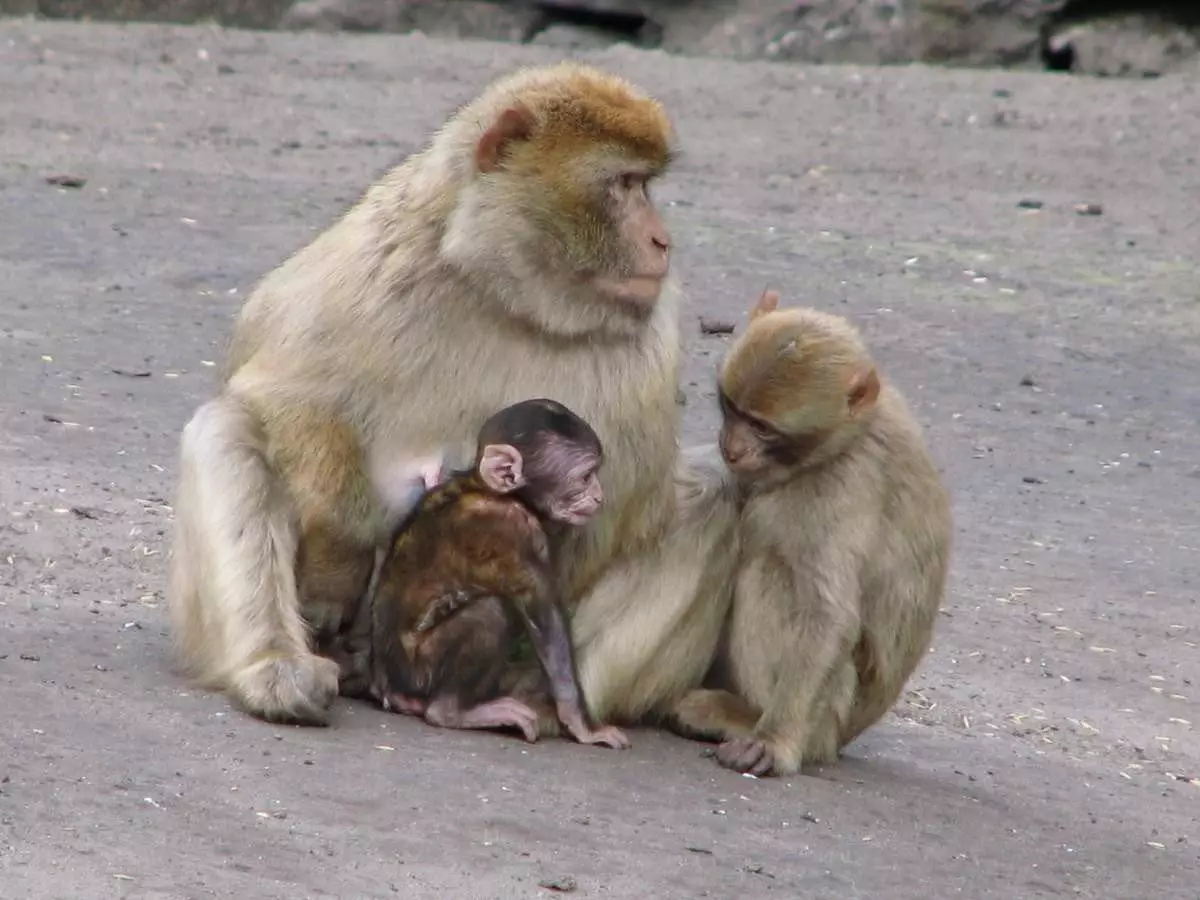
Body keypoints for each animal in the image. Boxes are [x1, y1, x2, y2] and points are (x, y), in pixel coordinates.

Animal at [367, 398, 633, 748]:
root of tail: (387, 688)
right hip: (418, 670)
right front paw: (584, 725)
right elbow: (546, 619)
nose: (599, 496)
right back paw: (452, 711)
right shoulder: (516, 529)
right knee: (488, 612)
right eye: (586, 477)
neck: (496, 492)